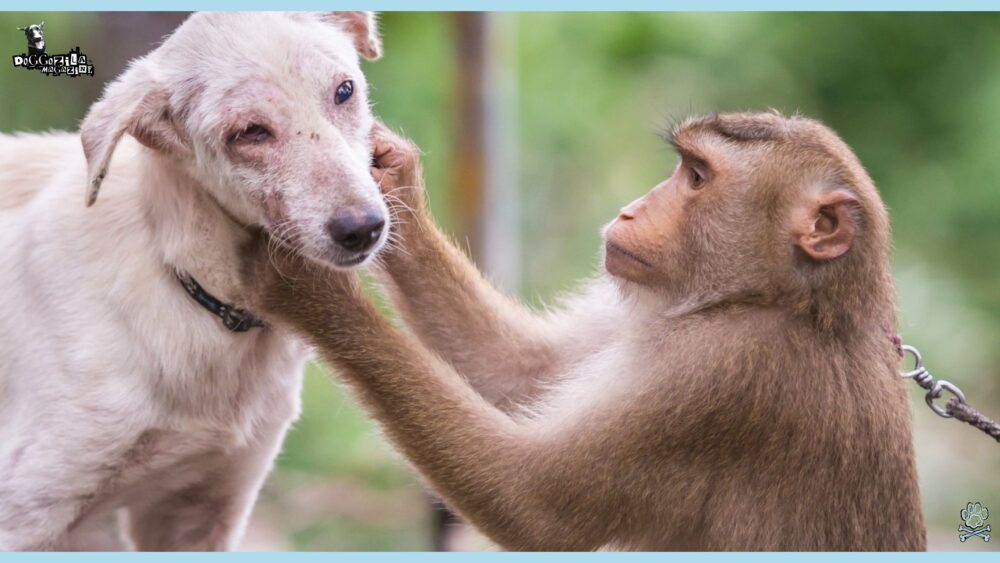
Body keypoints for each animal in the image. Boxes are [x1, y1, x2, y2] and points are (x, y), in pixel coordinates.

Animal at [242, 112, 926, 551]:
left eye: (696, 177)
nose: (631, 210)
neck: (785, 299)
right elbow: (520, 372)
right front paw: (393, 178)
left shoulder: (725, 377)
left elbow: (530, 502)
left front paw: (311, 292)